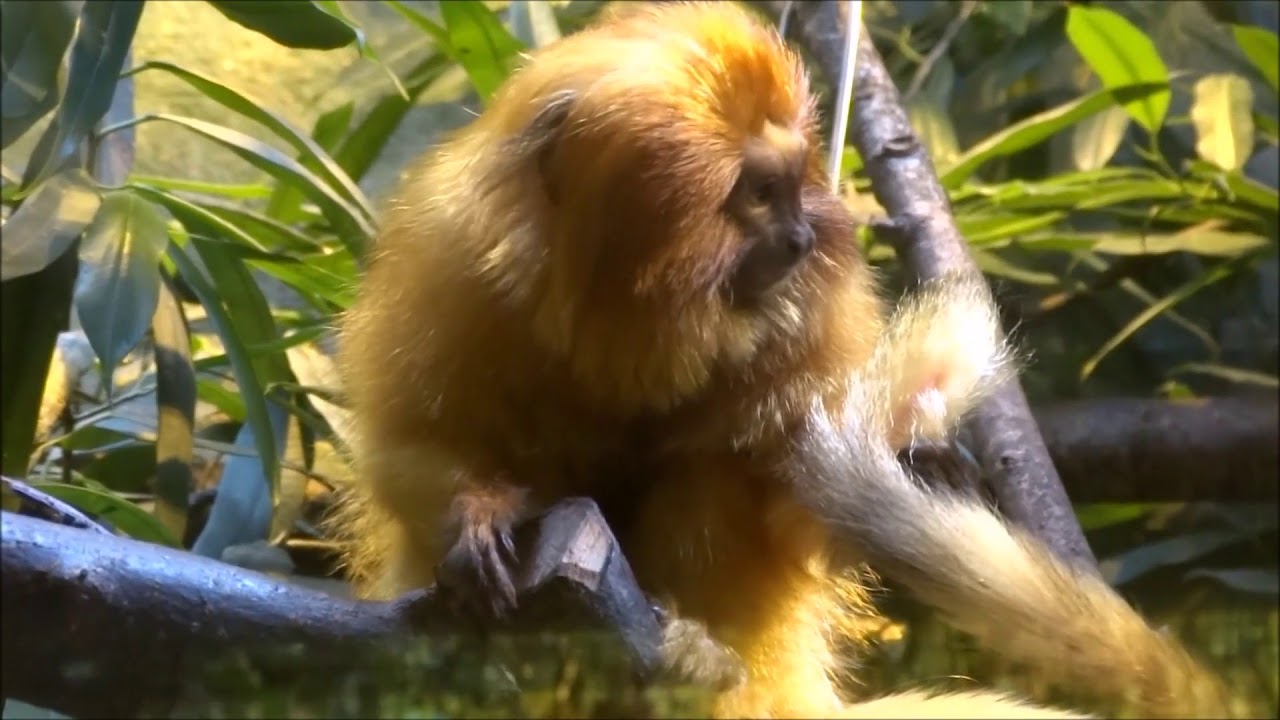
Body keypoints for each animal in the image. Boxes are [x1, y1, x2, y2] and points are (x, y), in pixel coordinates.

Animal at [328, 1, 1233, 717]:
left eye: (796, 186)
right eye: (758, 196)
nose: (800, 236)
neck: (630, 316)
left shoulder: (817, 318)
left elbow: (800, 515)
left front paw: (926, 460)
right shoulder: (456, 260)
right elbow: (401, 443)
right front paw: (476, 513)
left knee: (710, 478)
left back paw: (697, 661)